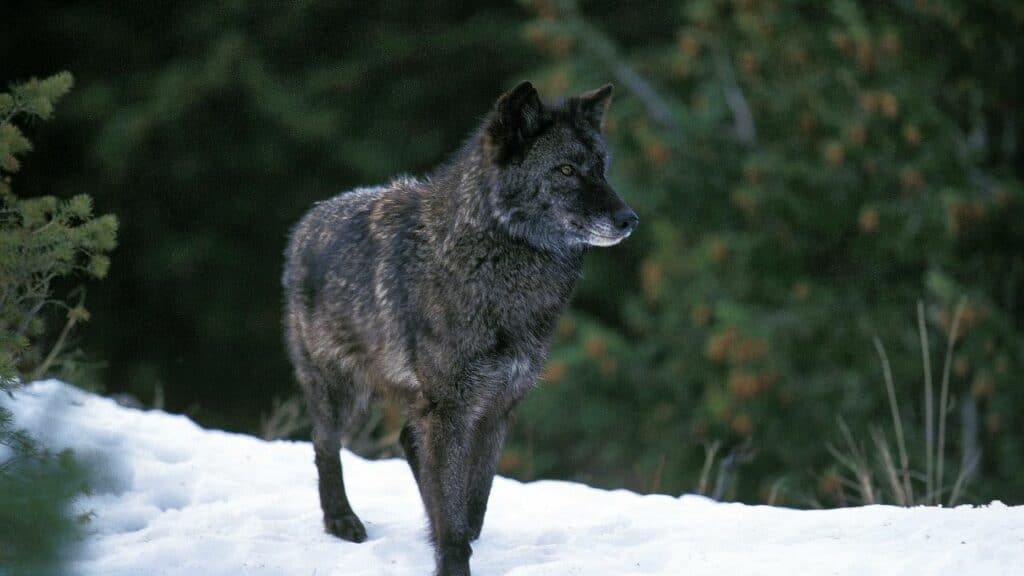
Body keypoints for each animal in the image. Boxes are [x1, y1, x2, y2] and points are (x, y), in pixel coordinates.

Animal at [282, 81, 637, 576]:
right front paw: (452, 558)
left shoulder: (497, 407)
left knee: (406, 442)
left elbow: (474, 499)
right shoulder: (451, 408)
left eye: (602, 168)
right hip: (347, 394)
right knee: (323, 443)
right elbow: (451, 507)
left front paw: (462, 539)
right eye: (566, 169)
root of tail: (305, 224)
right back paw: (340, 520)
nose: (629, 220)